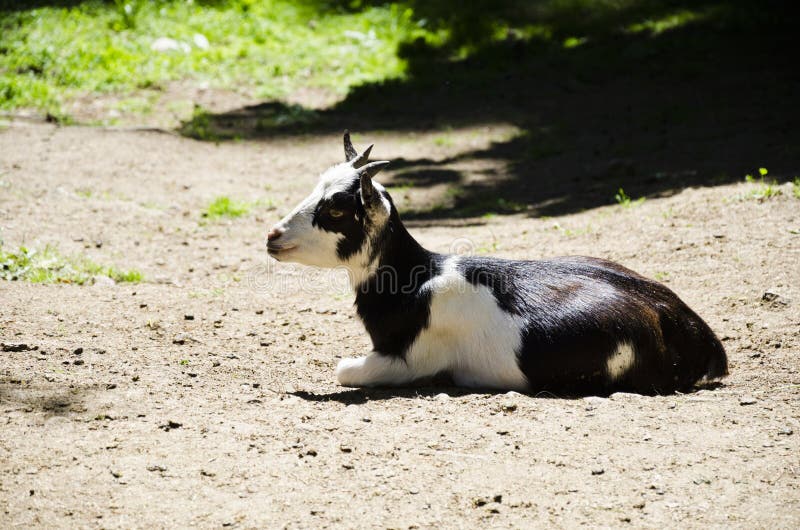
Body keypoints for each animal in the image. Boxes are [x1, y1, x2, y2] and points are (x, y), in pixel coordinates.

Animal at [266, 133, 728, 395]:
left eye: (336, 209)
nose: (273, 236)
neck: (416, 281)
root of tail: (693, 330)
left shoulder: (406, 361)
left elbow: (343, 370)